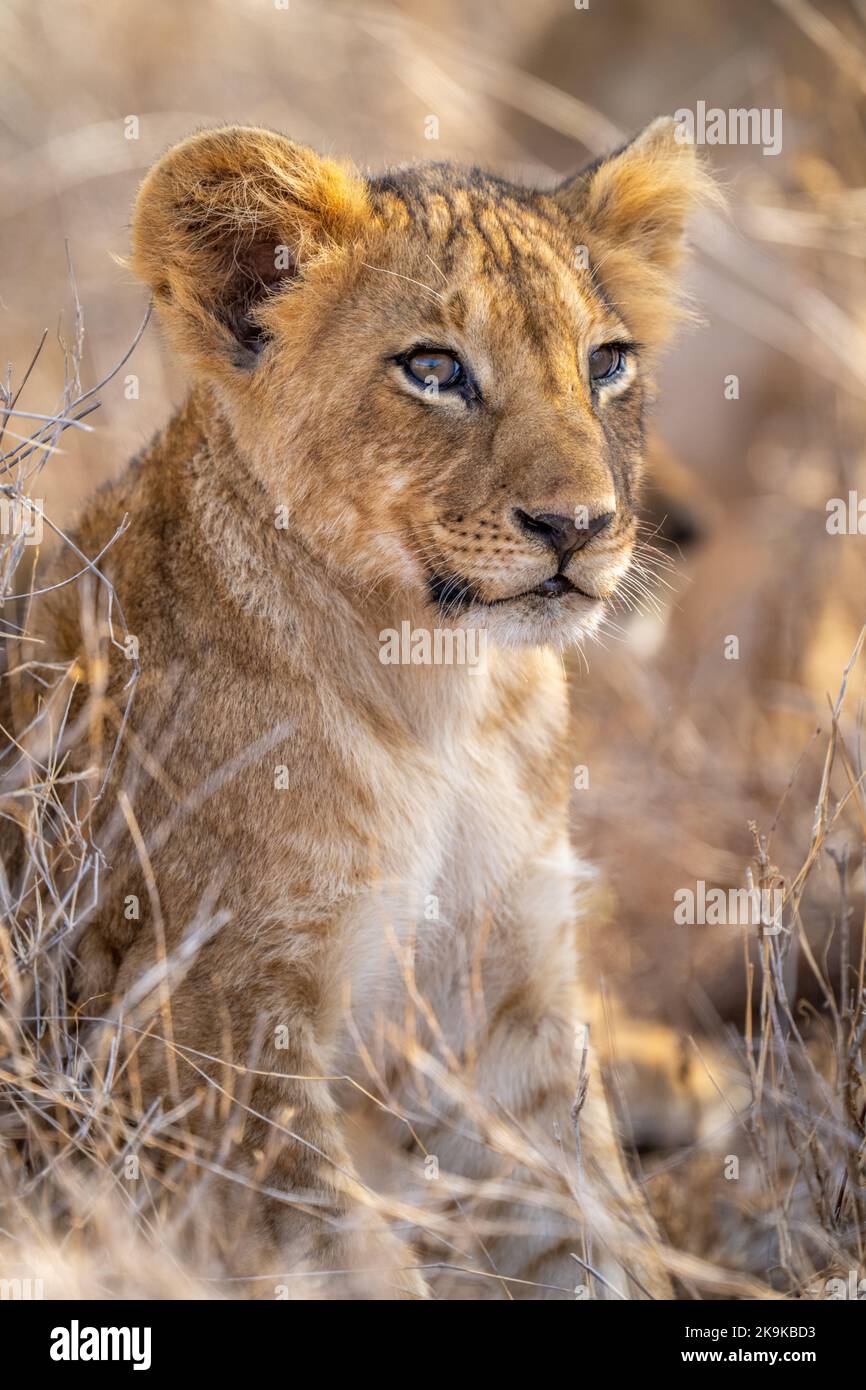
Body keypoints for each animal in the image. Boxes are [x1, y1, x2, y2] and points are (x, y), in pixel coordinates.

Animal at [14, 118, 715, 1299]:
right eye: (434, 369)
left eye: (606, 363)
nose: (579, 525)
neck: (443, 692)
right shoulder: (211, 1019)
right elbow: (346, 1252)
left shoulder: (514, 997)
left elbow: (597, 1223)